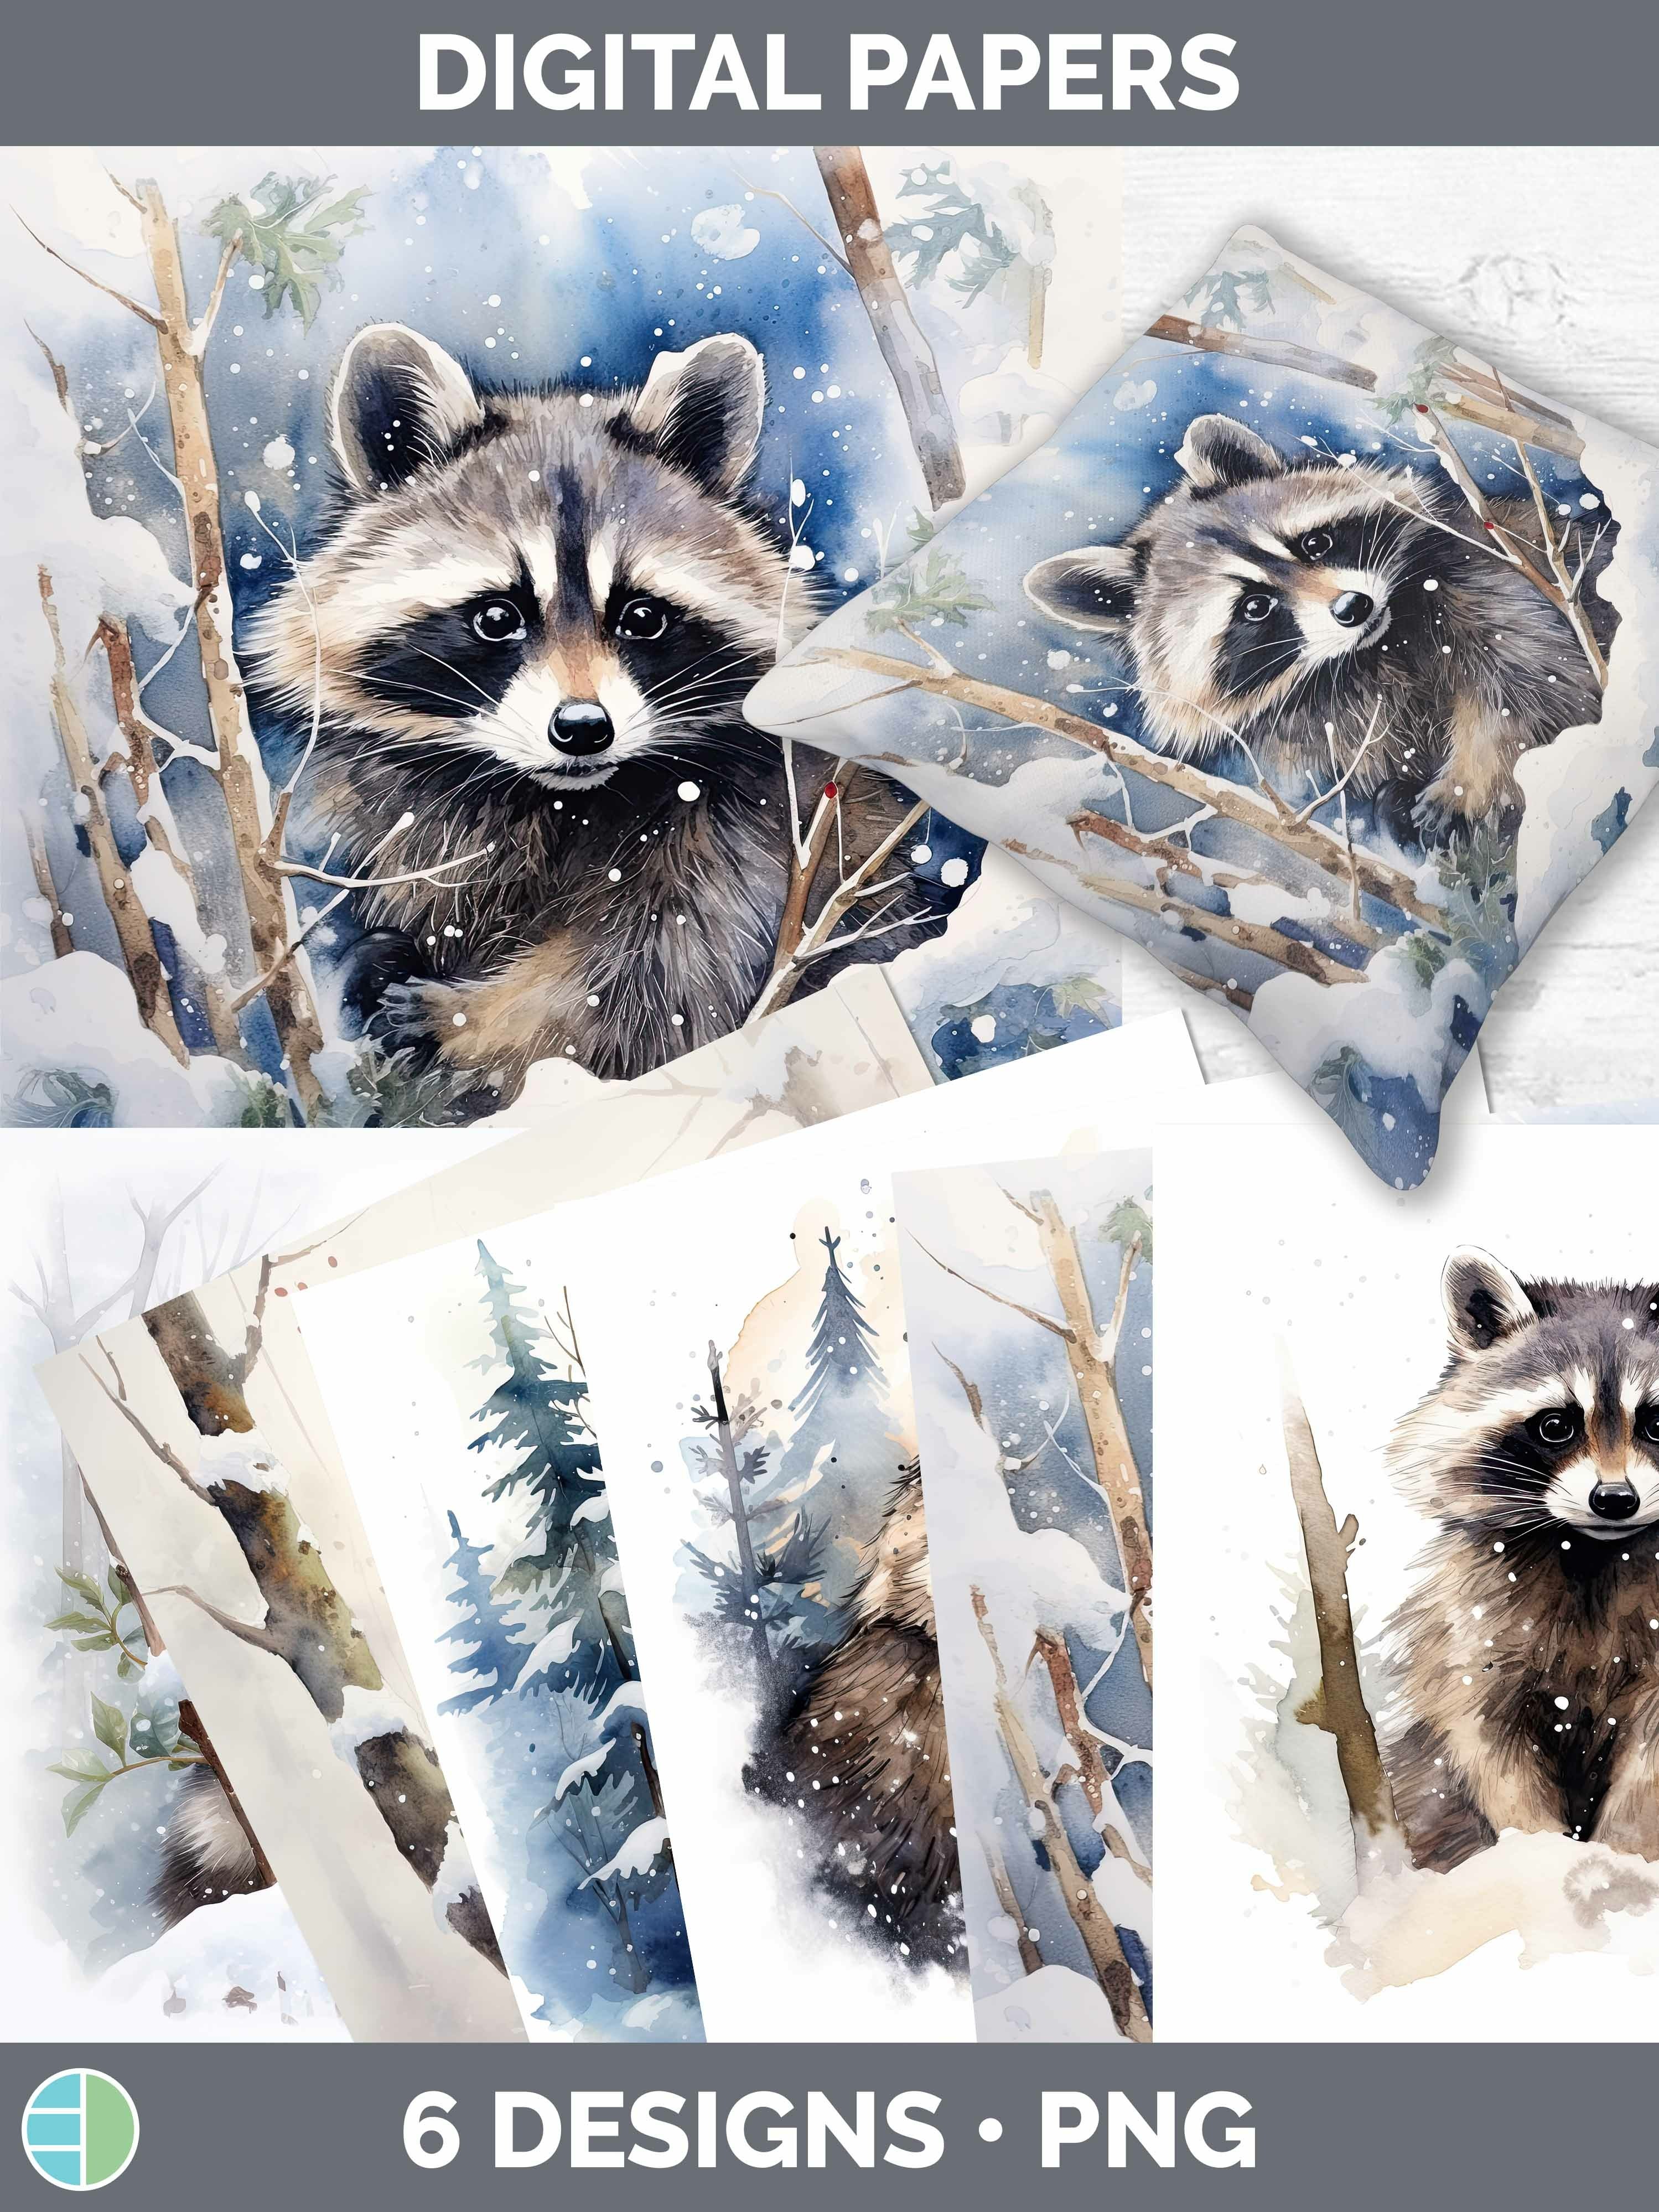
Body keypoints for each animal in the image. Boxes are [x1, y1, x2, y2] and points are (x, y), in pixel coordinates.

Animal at [255, 324, 951, 1103]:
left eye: (641, 617)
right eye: (497, 617)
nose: (583, 729)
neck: (557, 799)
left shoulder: (756, 824)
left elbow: (655, 982)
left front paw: (474, 1021)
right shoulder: (423, 822)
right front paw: (396, 966)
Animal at [1022, 413, 1617, 844]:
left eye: (1315, 543)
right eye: (1255, 607)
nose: (1355, 606)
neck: (1372, 650)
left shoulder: (1480, 575)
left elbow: (1531, 688)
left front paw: (1472, 778)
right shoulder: (1324, 721)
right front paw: (1403, 791)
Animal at [1383, 1248, 1659, 1873]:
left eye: (1658, 1423)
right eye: (1556, 1425)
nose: (1615, 1499)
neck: (1591, 1551)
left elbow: (1647, 1772)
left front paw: (1626, 1855)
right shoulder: (1471, 1628)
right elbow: (1490, 1748)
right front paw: (1538, 1857)